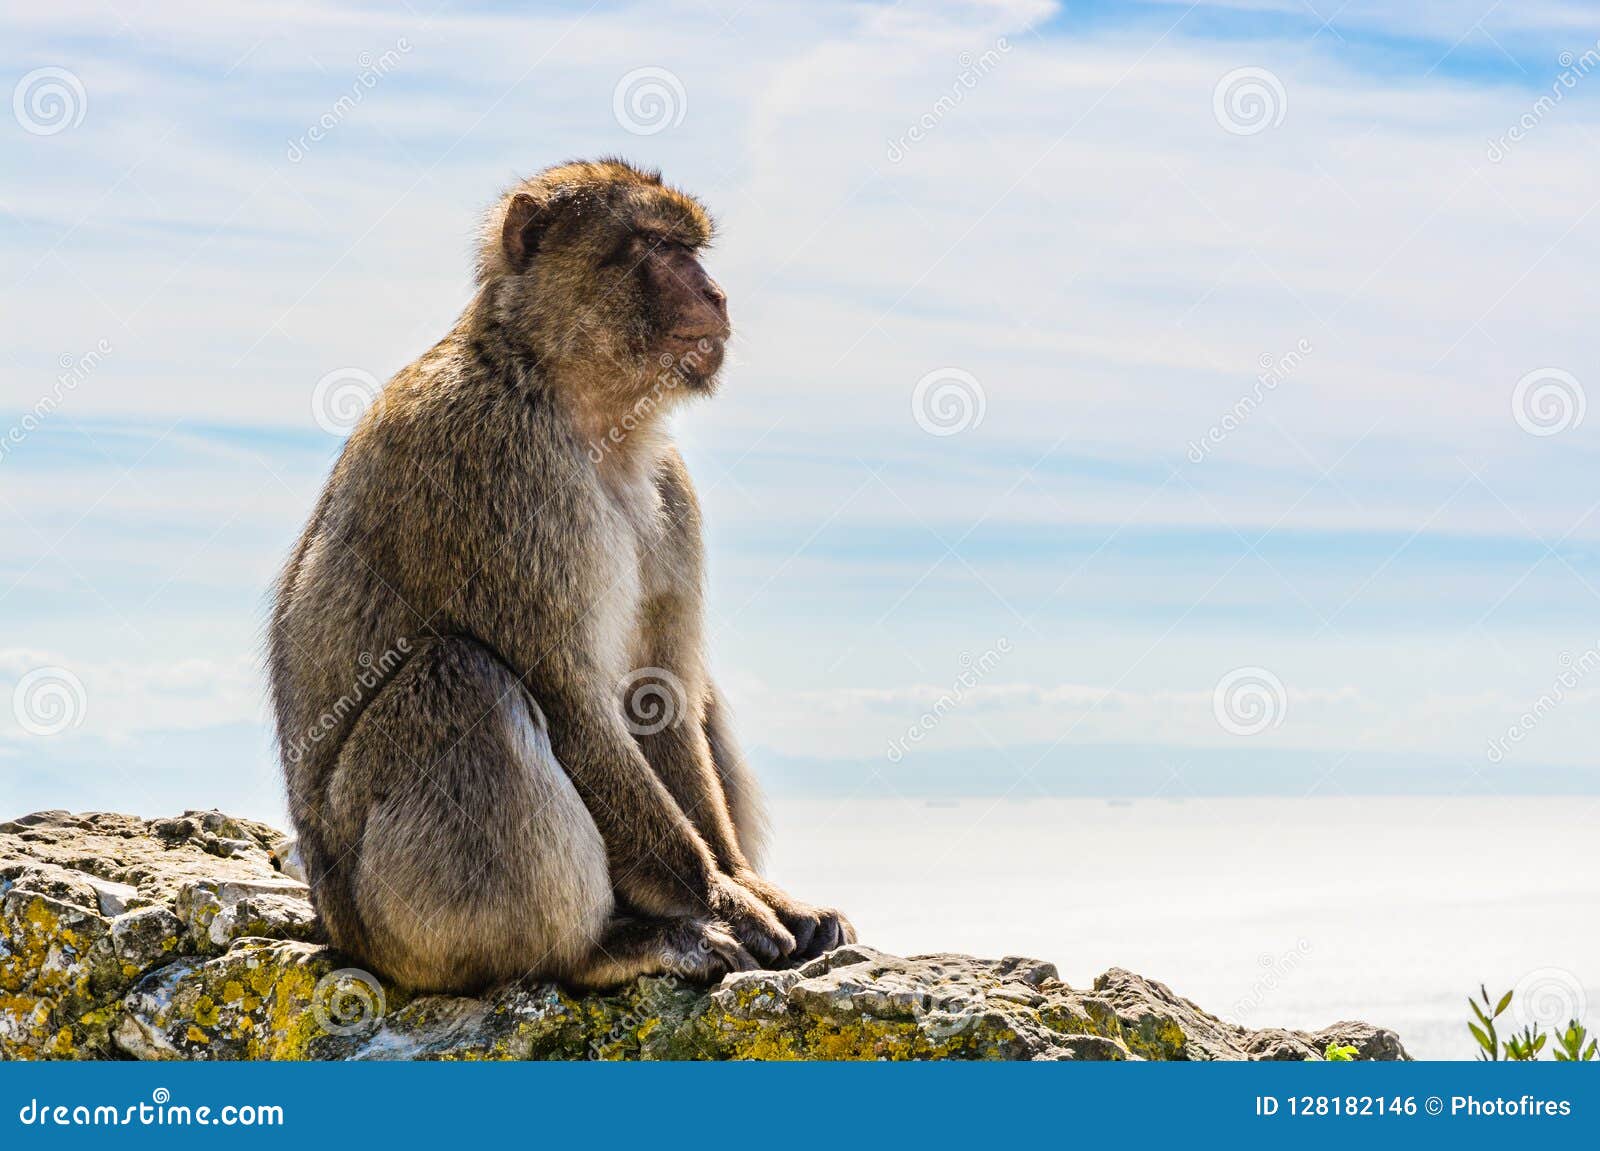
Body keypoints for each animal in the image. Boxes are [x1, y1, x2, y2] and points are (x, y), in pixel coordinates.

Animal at [267, 159, 854, 995]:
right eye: (655, 247)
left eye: (689, 248)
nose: (716, 294)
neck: (566, 396)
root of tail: (335, 924)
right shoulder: (493, 461)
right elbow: (569, 696)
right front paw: (719, 899)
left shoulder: (671, 487)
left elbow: (661, 688)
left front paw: (751, 884)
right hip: (390, 919)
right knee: (460, 676)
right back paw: (596, 948)